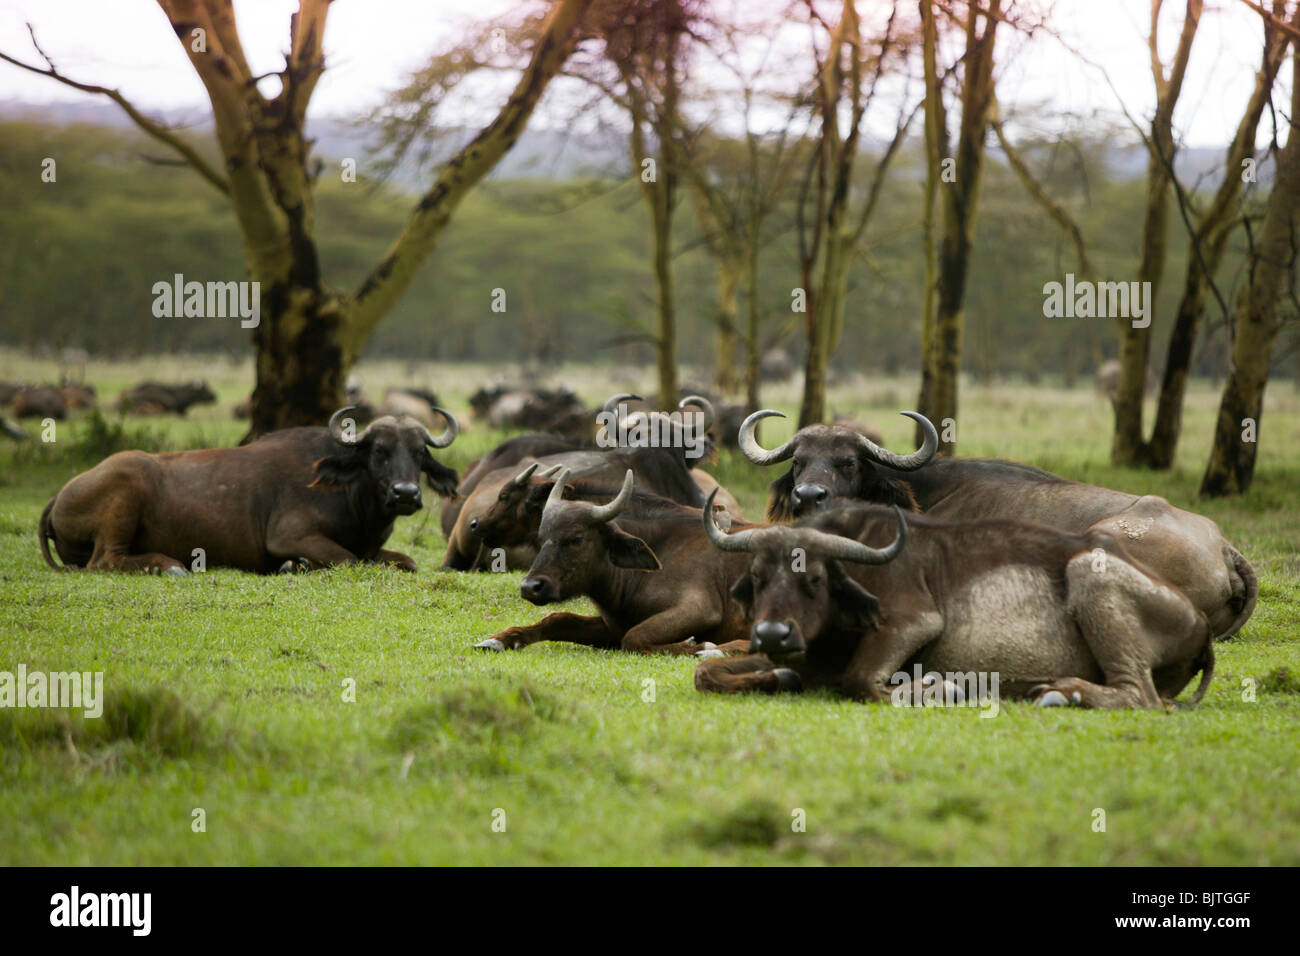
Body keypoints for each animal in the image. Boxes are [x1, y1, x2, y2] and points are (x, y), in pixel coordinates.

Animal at [39, 406, 458, 574]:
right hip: (129, 484)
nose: (406, 493)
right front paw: (294, 566)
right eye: (379, 452)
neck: (352, 498)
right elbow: (348, 560)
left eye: (419, 454)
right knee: (105, 560)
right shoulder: (290, 536)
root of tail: (59, 495)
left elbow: (407, 561)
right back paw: (169, 566)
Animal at [695, 496, 1215, 710]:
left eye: (816, 580)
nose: (773, 633)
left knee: (1140, 695)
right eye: (757, 578)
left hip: (1090, 570)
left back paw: (1062, 692)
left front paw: (940, 689)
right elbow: (705, 673)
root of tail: (1202, 625)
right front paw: (777, 677)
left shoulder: (911, 623)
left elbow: (859, 680)